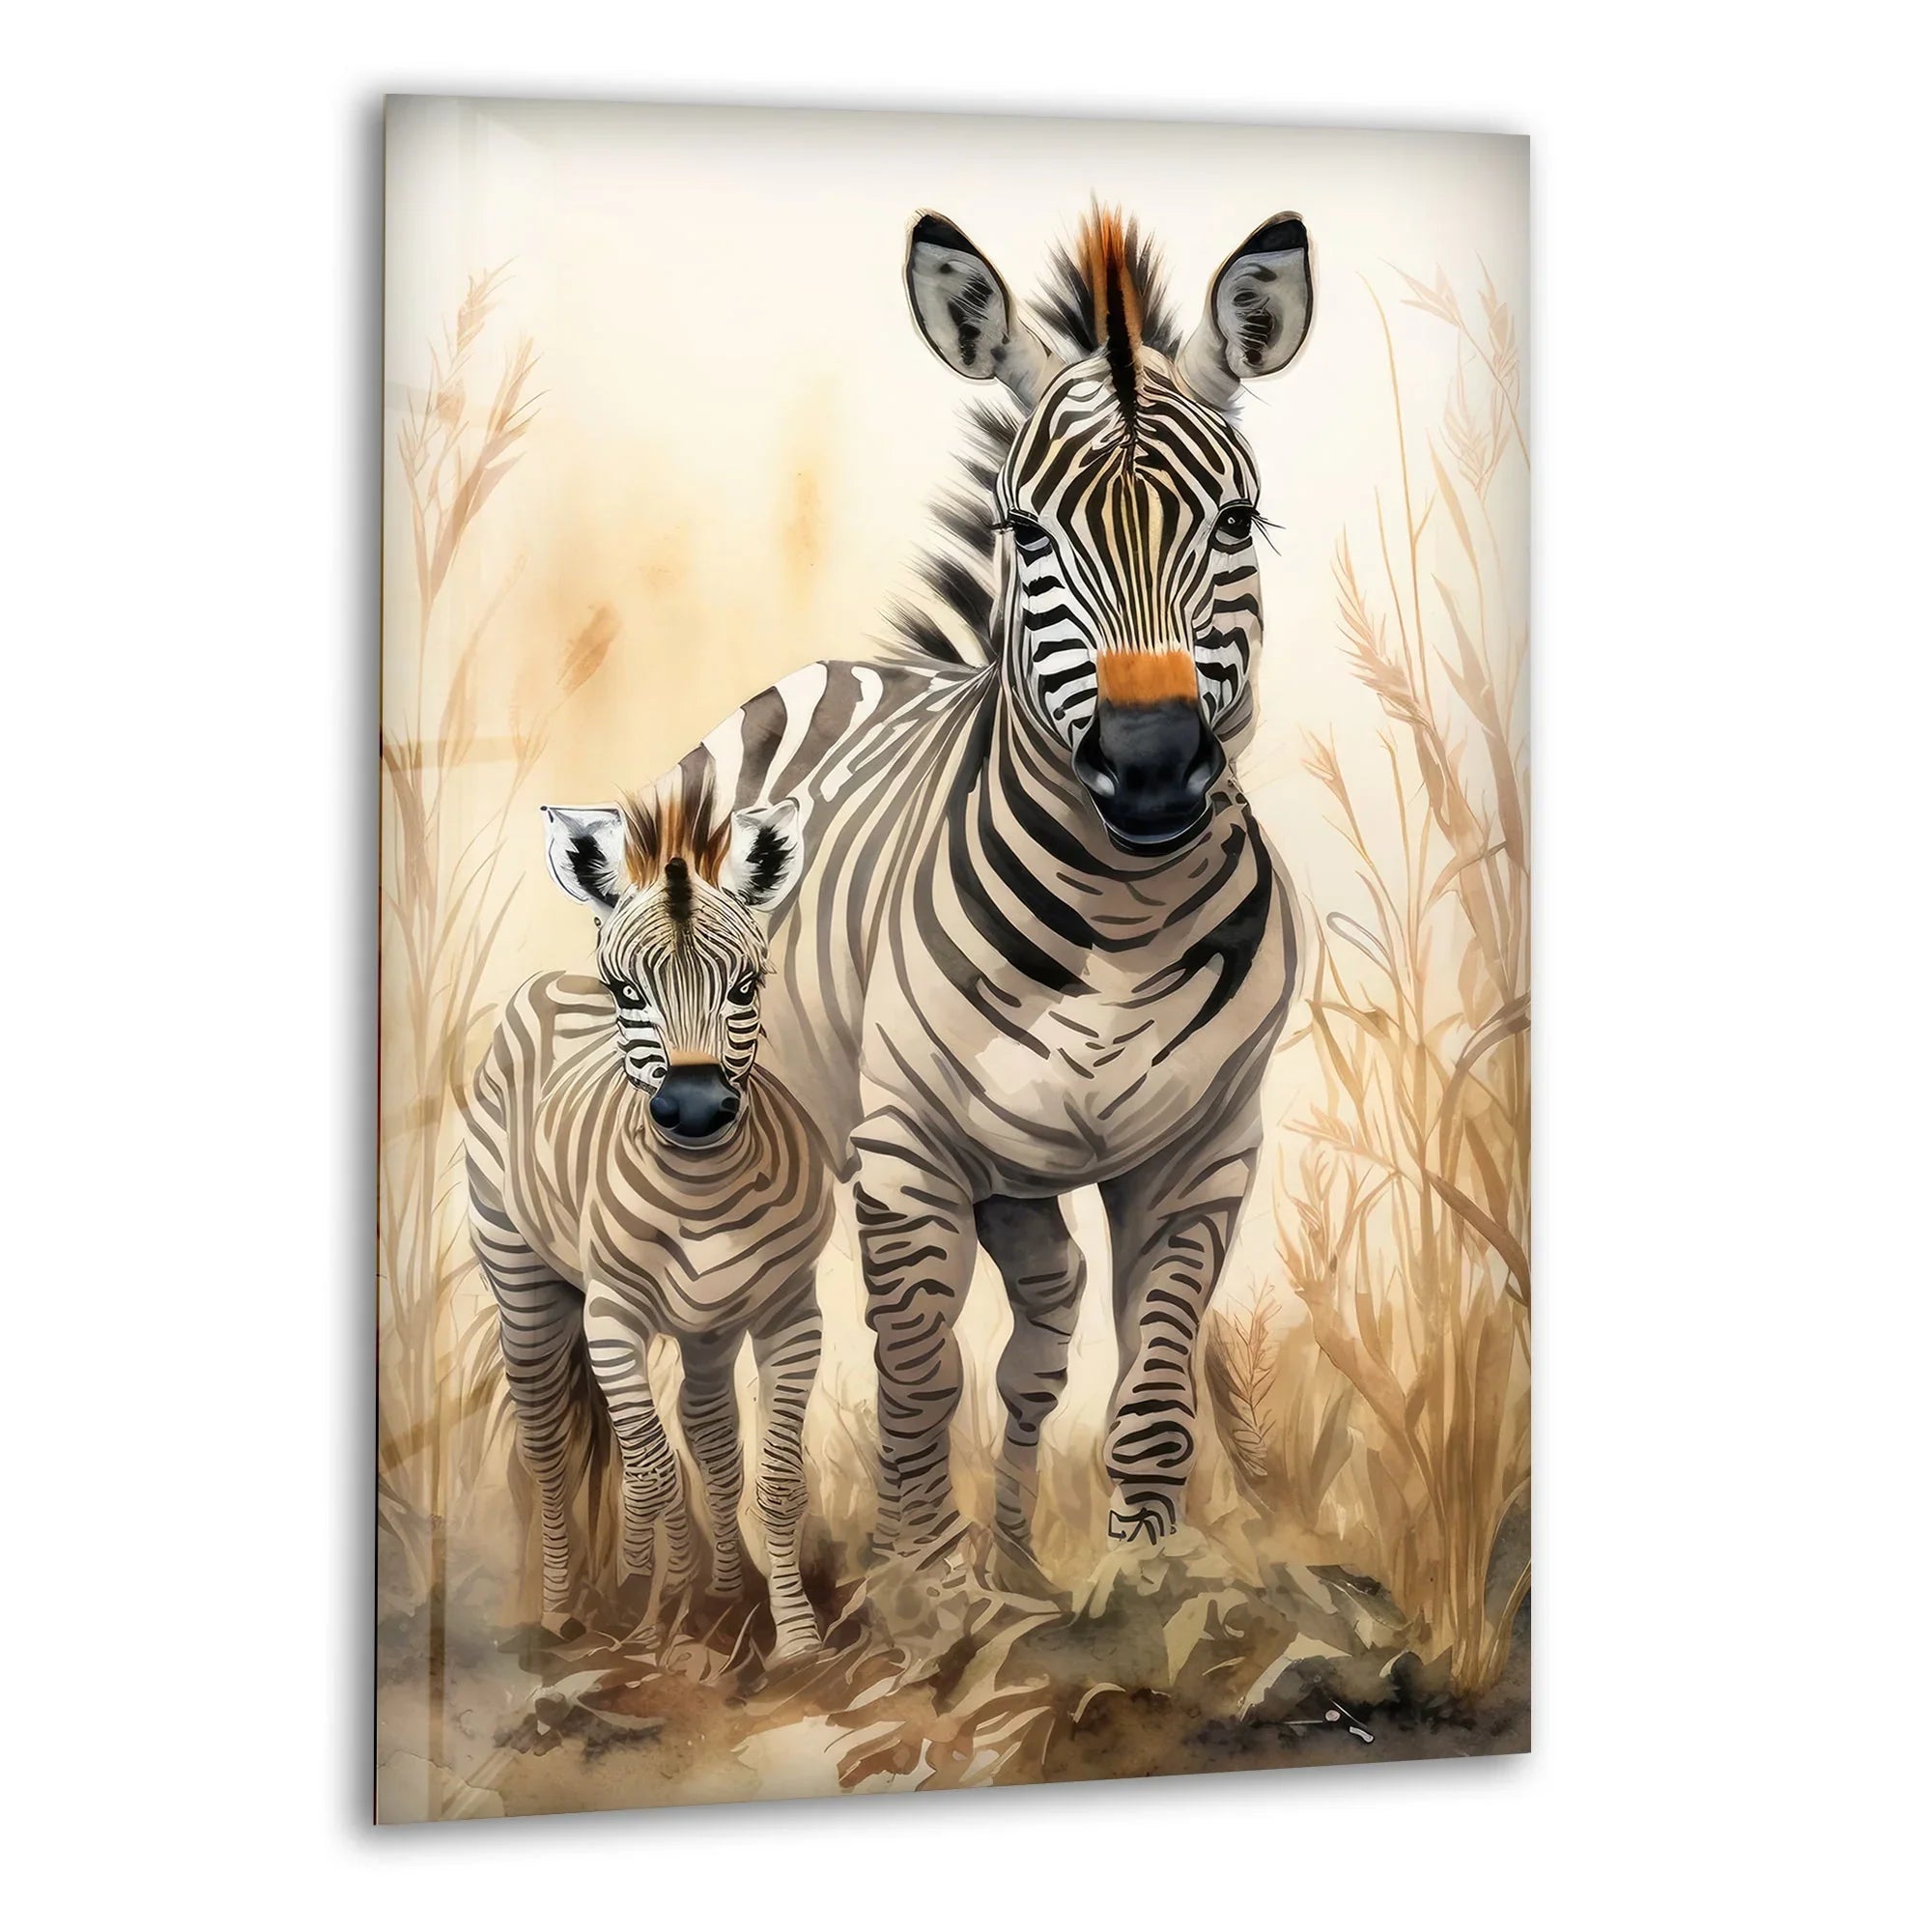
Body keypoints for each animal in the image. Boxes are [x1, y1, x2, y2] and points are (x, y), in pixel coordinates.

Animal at [461, 765, 834, 1658]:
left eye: (748, 986)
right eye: (626, 991)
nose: (694, 1110)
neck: (703, 1193)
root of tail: (553, 982)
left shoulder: (791, 1314)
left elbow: (769, 1477)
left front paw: (793, 1639)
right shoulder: (611, 1318)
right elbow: (656, 1475)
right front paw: (673, 1619)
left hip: (706, 1326)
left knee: (706, 1436)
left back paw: (713, 1587)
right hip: (524, 1287)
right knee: (554, 1449)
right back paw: (574, 1607)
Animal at [655, 206, 1314, 1569]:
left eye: (1235, 522)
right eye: (1026, 533)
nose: (1152, 765)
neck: (1120, 915)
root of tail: (832, 671)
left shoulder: (1204, 1149)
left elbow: (1150, 1395)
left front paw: (1133, 1576)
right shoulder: (905, 1147)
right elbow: (914, 1378)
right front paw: (923, 1588)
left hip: (1021, 1169)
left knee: (1045, 1320)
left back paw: (1016, 1557)